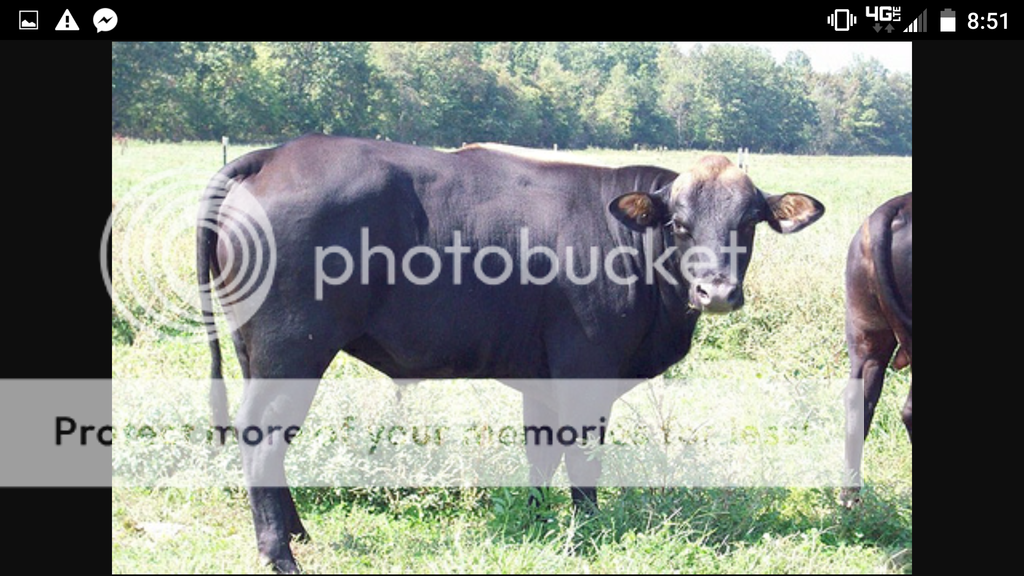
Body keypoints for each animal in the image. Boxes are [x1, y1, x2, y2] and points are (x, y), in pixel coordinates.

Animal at [197, 135, 824, 572]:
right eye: (679, 223)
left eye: (749, 222)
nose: (716, 291)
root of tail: (276, 154)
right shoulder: (585, 370)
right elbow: (582, 460)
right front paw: (586, 532)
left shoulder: (541, 377)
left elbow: (540, 455)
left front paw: (538, 521)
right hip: (292, 354)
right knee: (262, 438)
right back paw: (279, 553)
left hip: (255, 352)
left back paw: (297, 533)